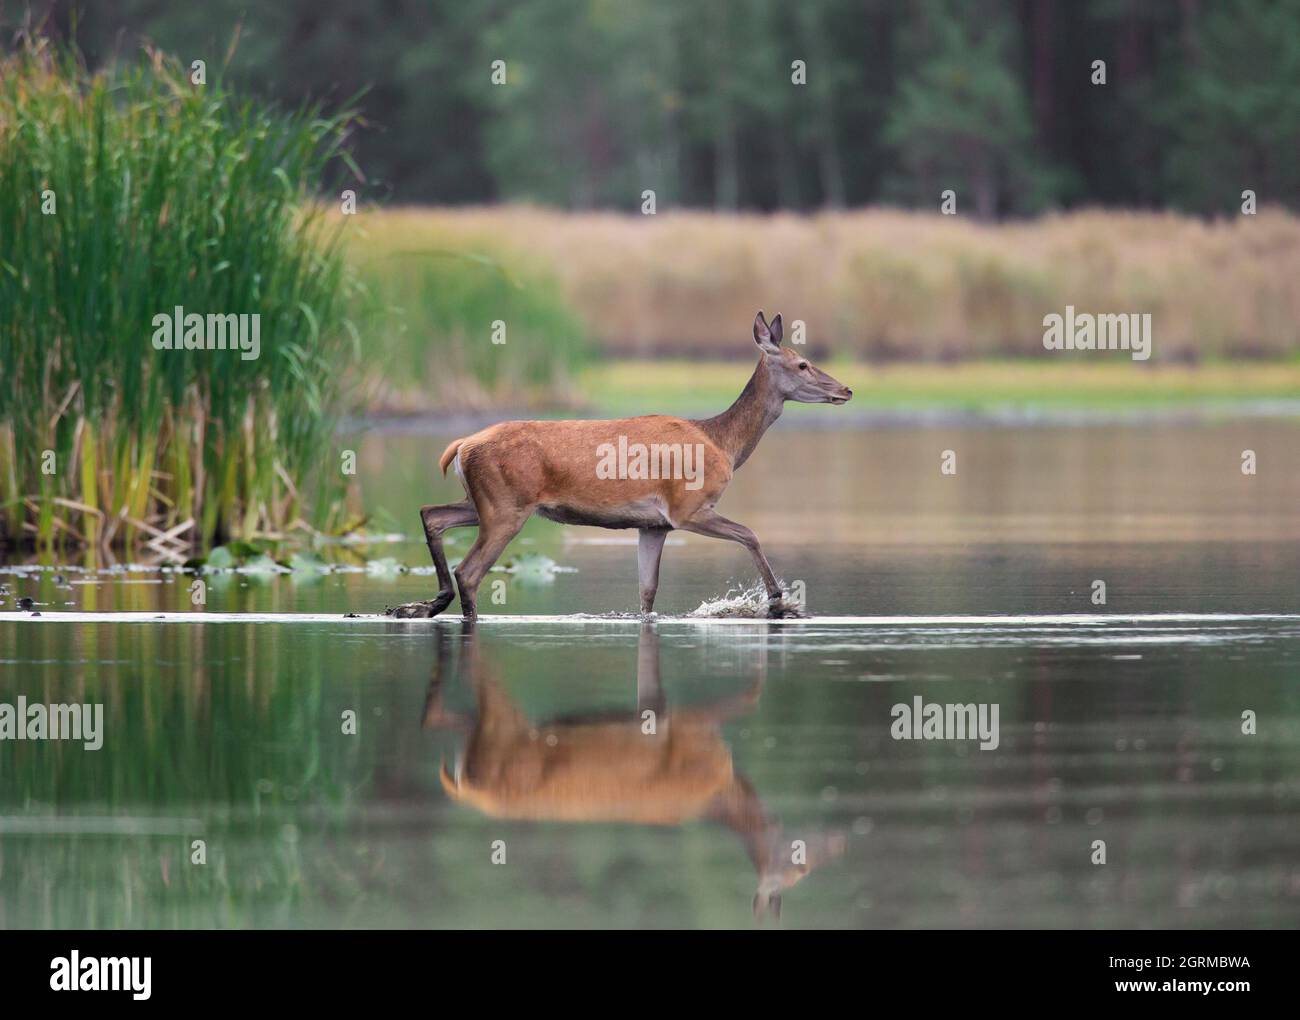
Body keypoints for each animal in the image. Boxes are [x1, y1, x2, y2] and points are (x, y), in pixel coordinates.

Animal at [388, 311, 852, 621]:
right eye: (802, 363)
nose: (846, 389)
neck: (724, 445)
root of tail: (461, 445)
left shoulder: (654, 525)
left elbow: (647, 593)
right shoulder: (687, 507)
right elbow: (751, 534)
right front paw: (779, 603)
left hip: (482, 502)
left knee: (432, 514)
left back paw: (423, 604)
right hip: (506, 507)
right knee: (469, 571)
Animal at [422, 621, 848, 921]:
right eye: (801, 867)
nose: (837, 842)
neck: (723, 792)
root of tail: (464, 788)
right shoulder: (695, 730)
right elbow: (749, 698)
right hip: (503, 731)